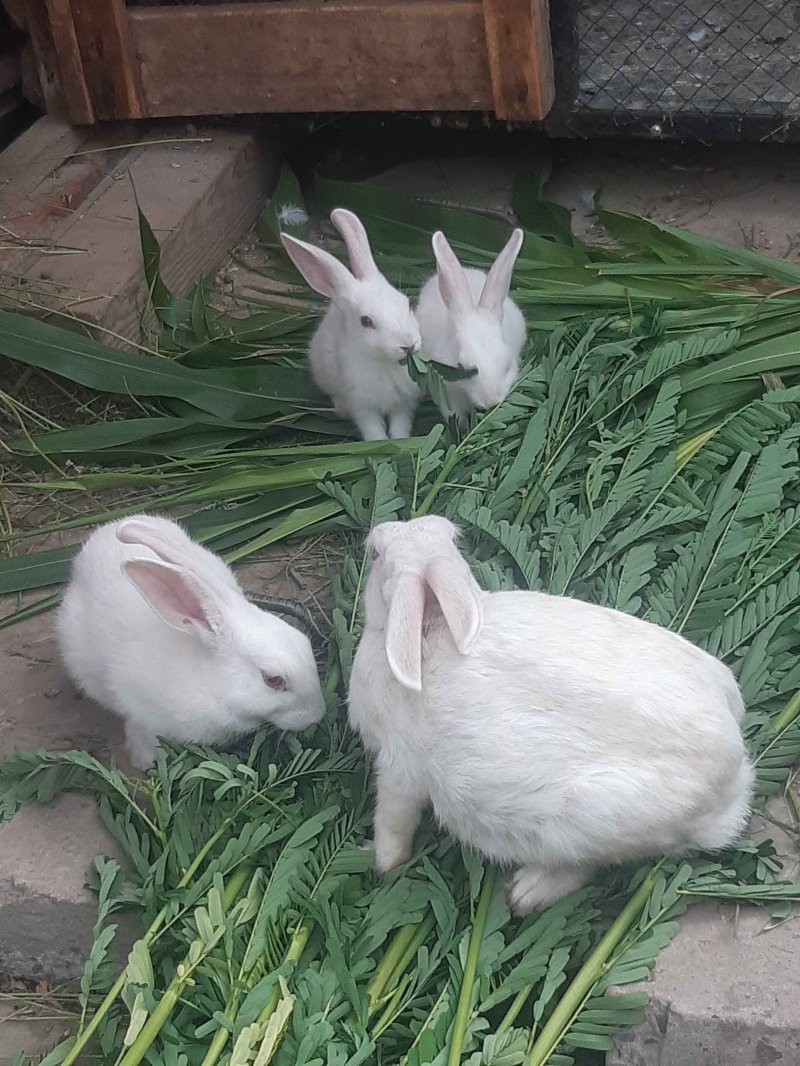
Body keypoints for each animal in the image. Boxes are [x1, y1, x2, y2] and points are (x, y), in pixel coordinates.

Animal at [55, 515, 326, 769]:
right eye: (273, 680)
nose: (317, 715)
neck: (211, 682)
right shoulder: (140, 709)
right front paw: (146, 760)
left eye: (304, 642)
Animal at [281, 208, 422, 442]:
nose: (408, 344)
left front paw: (401, 440)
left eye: (406, 303)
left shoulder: (404, 402)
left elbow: (400, 424)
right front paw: (381, 444)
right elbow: (372, 429)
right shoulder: (362, 405)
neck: (384, 362)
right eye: (366, 321)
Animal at [348, 516, 753, 915]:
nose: (380, 528)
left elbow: (393, 825)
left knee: (590, 866)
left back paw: (525, 893)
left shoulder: (399, 773)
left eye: (375, 553)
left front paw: (378, 861)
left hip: (589, 824)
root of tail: (736, 773)